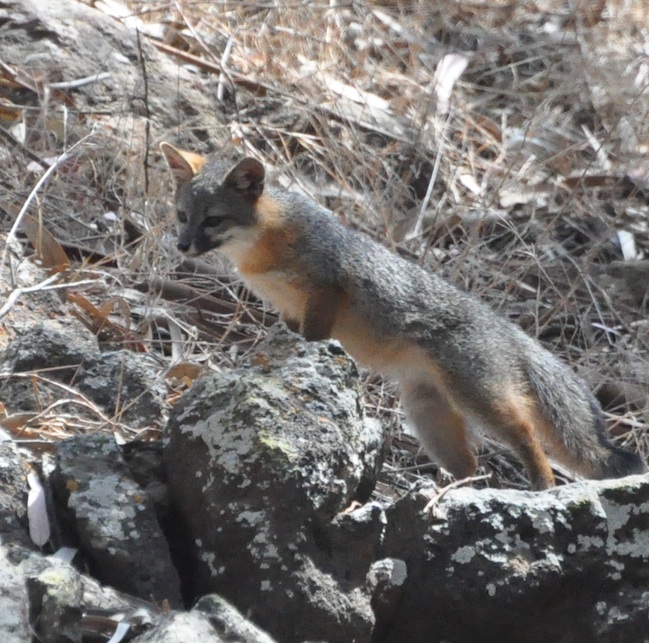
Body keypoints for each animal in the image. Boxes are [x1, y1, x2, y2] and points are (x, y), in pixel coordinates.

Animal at [160, 142, 646, 490]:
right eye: (182, 216)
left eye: (213, 220)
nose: (182, 246)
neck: (263, 248)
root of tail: (506, 328)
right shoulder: (289, 310)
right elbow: (292, 335)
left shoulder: (329, 289)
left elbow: (317, 337)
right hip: (430, 420)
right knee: (472, 466)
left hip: (479, 400)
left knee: (526, 433)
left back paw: (543, 488)